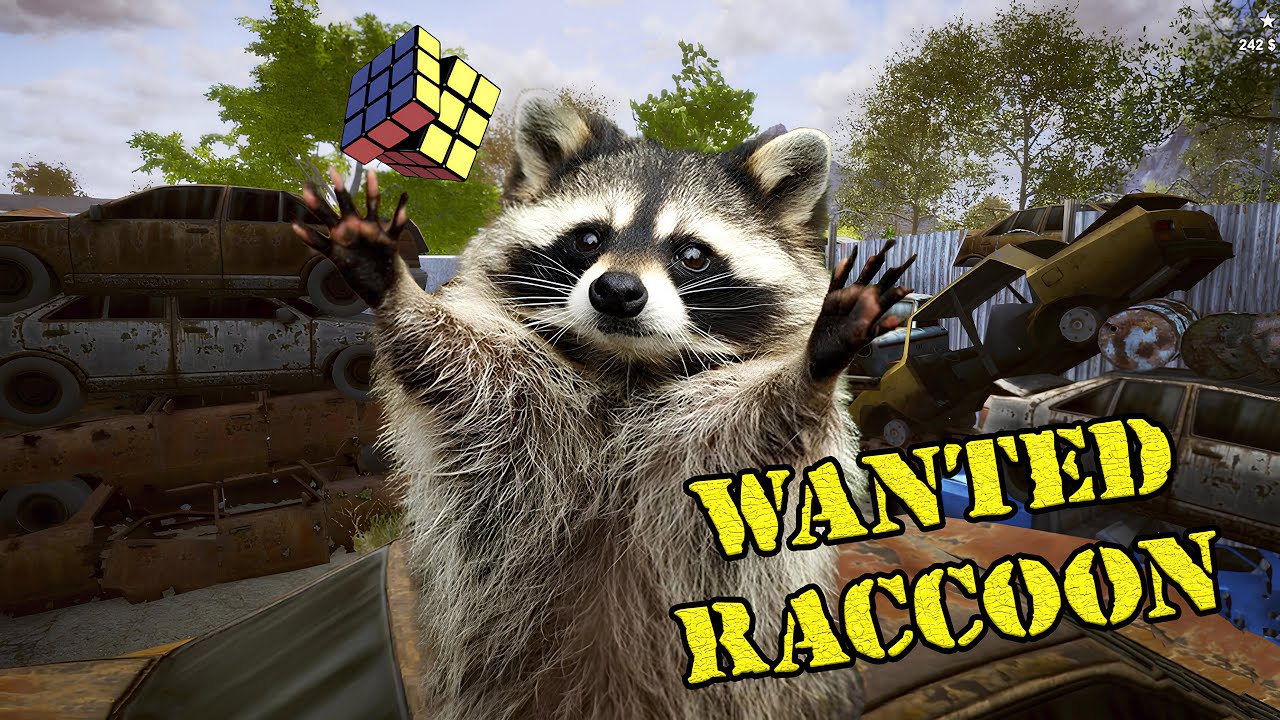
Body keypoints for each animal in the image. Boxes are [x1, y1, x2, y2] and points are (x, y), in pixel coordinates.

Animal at [294, 93, 911, 720]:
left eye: (692, 254)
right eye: (589, 238)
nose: (616, 291)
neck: (625, 365)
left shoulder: (700, 438)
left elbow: (761, 429)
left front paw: (811, 369)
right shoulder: (518, 400)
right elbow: (455, 363)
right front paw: (396, 291)